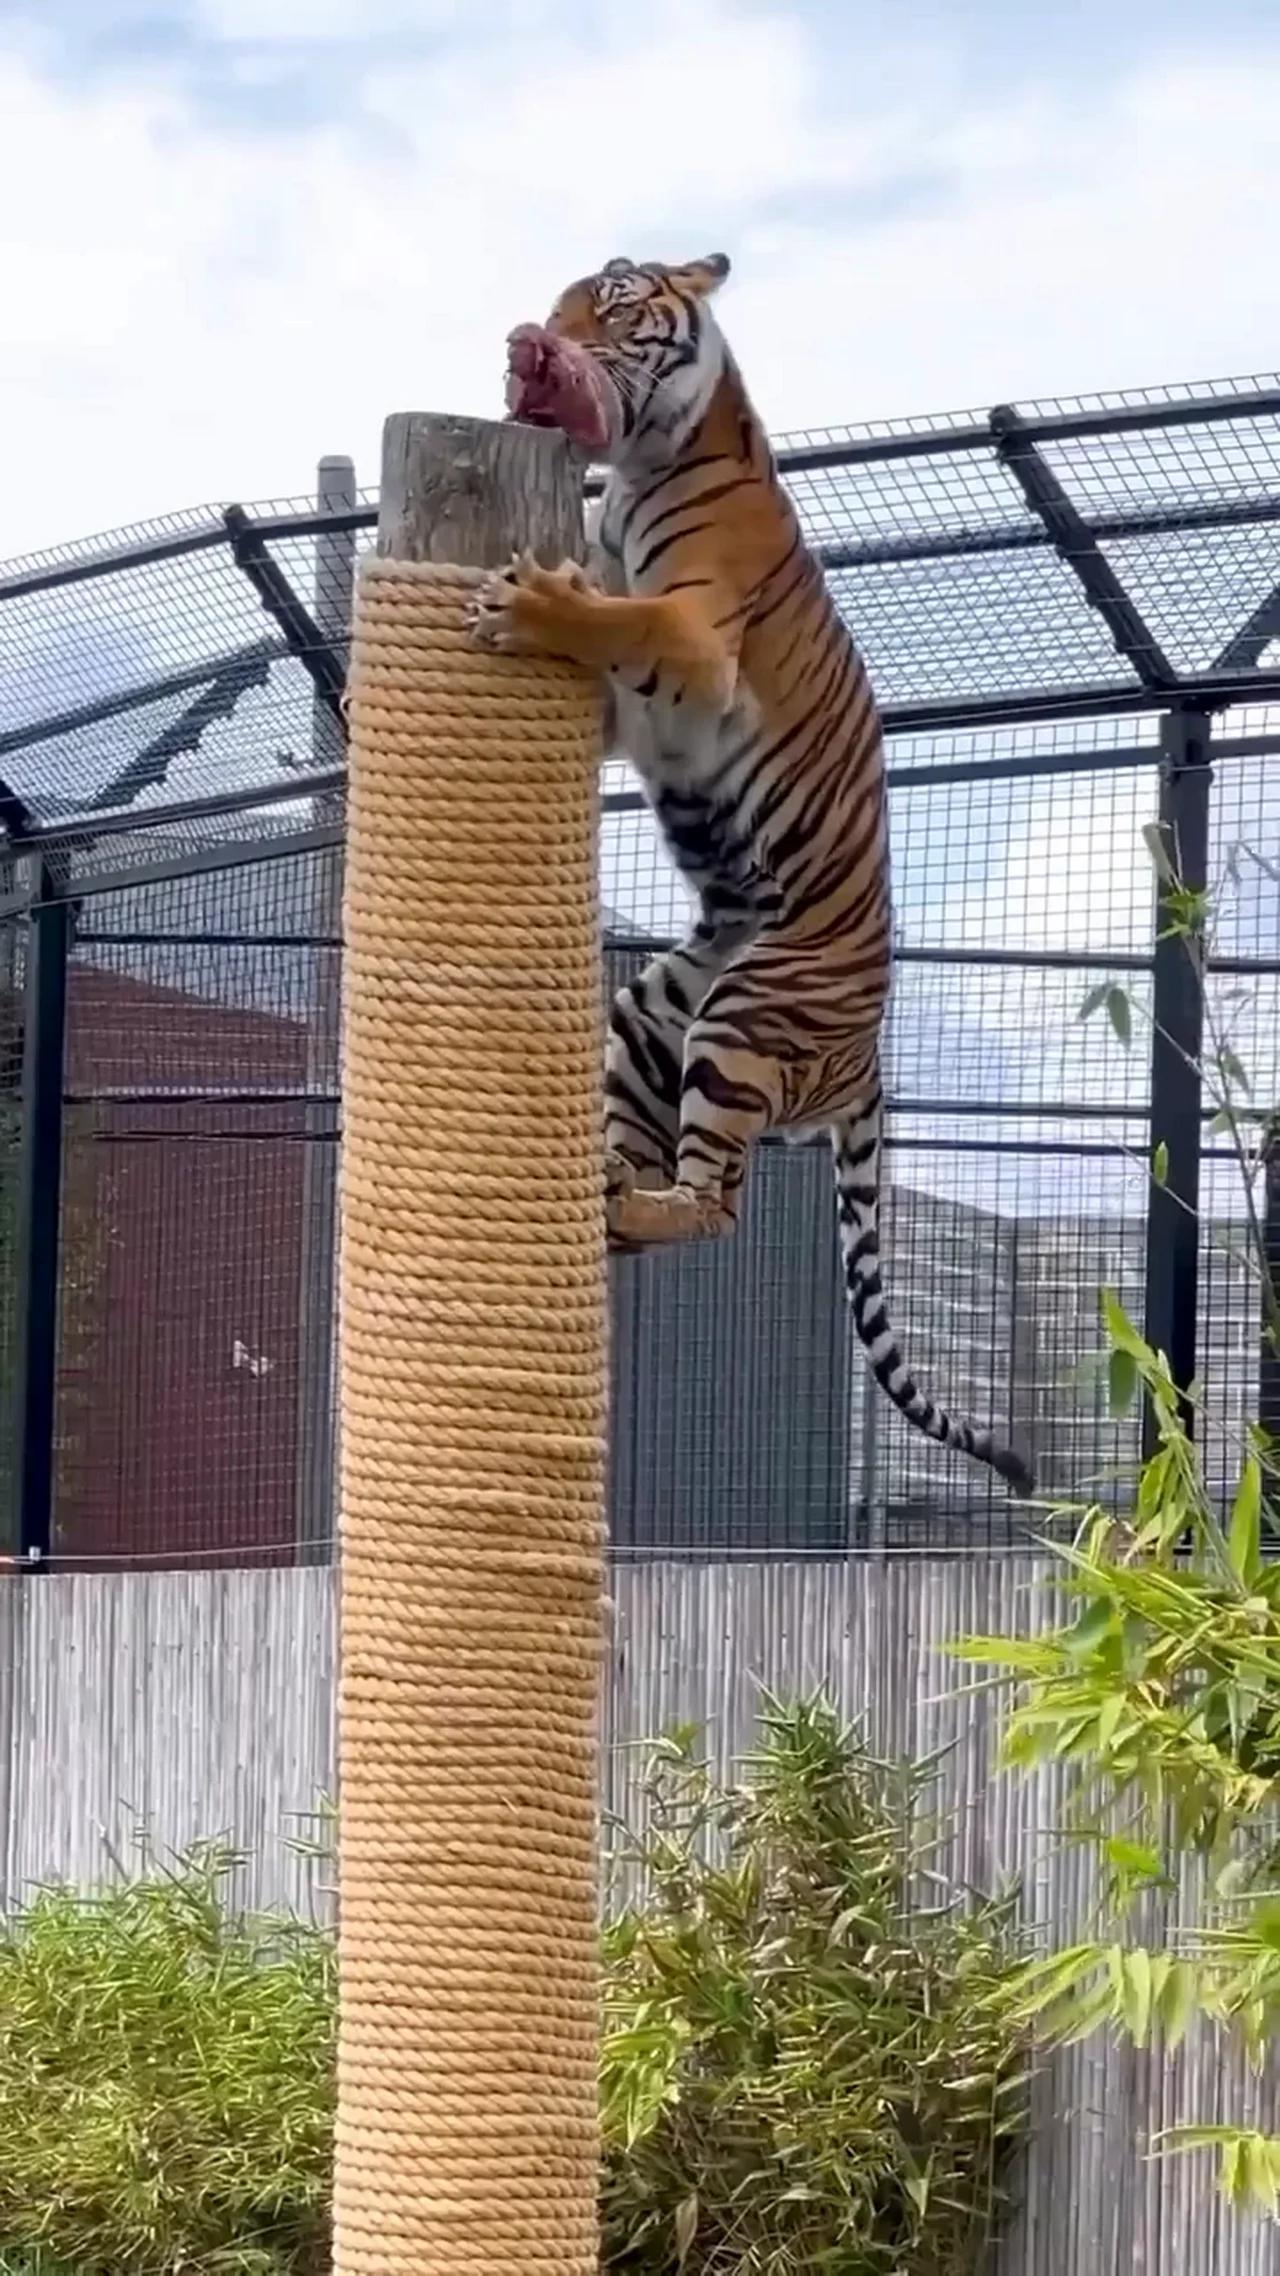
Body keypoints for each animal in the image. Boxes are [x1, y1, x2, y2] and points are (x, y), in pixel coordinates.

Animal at [470, 251, 1031, 1496]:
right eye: (560, 298)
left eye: (610, 306)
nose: (530, 335)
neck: (638, 466)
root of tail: (867, 1061)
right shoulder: (626, 717)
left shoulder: (690, 640)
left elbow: (615, 615)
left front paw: (532, 602)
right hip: (654, 1009)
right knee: (662, 1175)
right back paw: (600, 1189)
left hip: (743, 1012)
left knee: (718, 1205)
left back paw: (631, 1199)